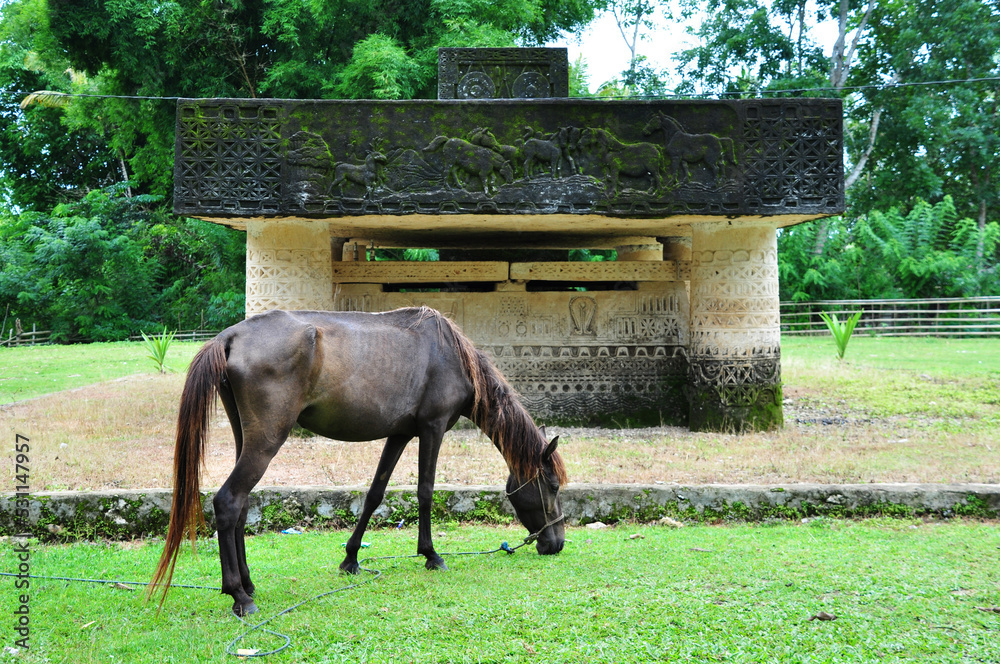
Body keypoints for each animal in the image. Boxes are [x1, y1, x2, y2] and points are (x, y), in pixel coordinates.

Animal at [148, 307, 567, 617]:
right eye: (552, 485)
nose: (557, 543)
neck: (450, 354)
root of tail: (229, 337)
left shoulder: (400, 435)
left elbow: (375, 494)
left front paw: (351, 559)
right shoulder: (431, 429)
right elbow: (425, 492)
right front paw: (431, 555)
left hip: (246, 439)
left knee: (241, 505)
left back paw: (247, 585)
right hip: (266, 441)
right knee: (228, 501)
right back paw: (239, 595)